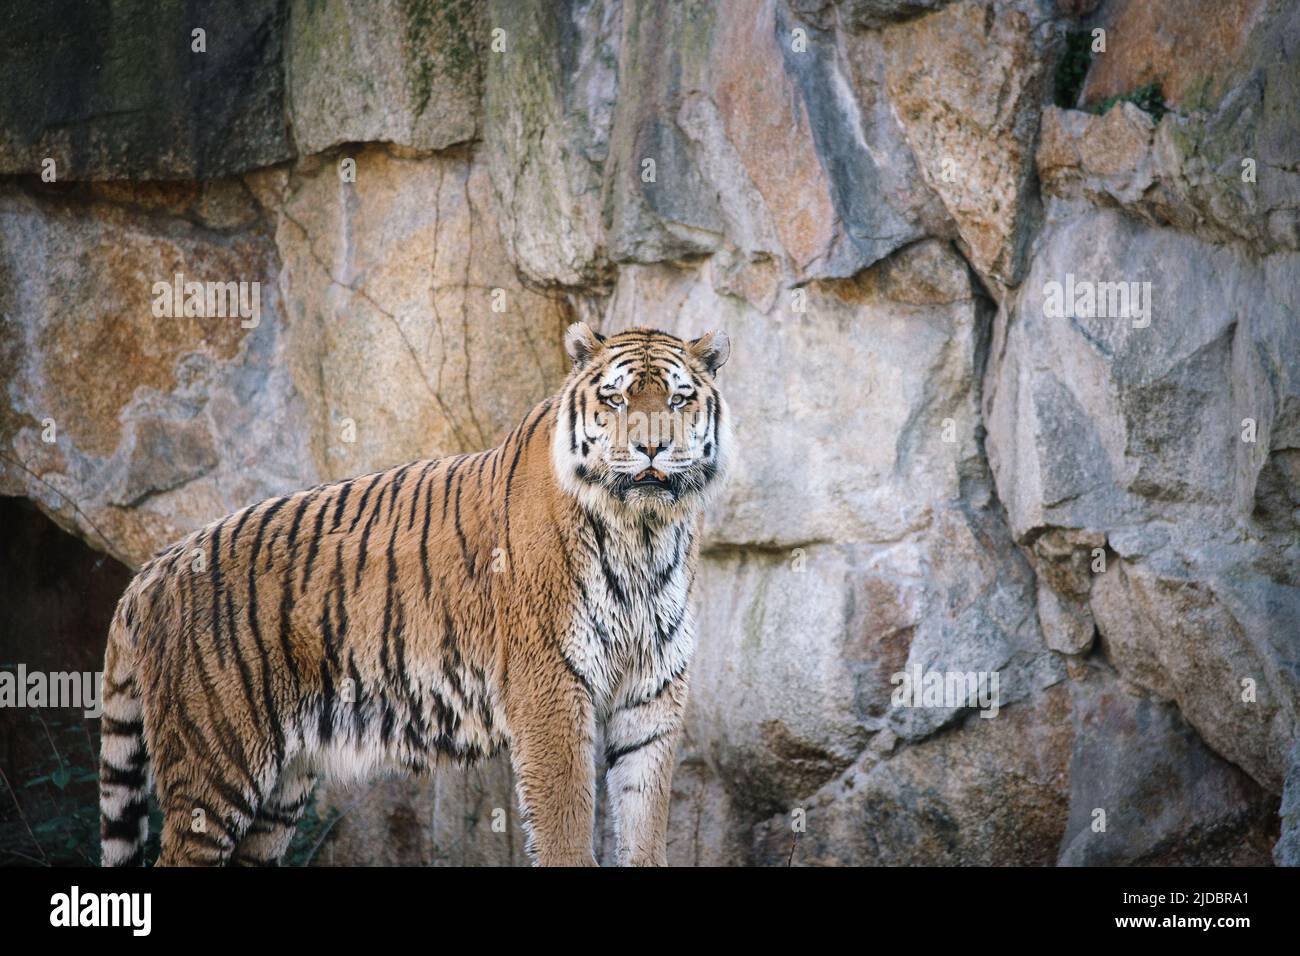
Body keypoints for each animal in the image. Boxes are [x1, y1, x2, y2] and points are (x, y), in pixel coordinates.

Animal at [98, 323, 731, 867]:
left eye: (678, 401)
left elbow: (644, 818)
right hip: (218, 760)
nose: (652, 448)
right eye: (617, 400)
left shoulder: (653, 688)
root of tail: (155, 568)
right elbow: (565, 824)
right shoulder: (549, 683)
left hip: (282, 785)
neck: (642, 532)